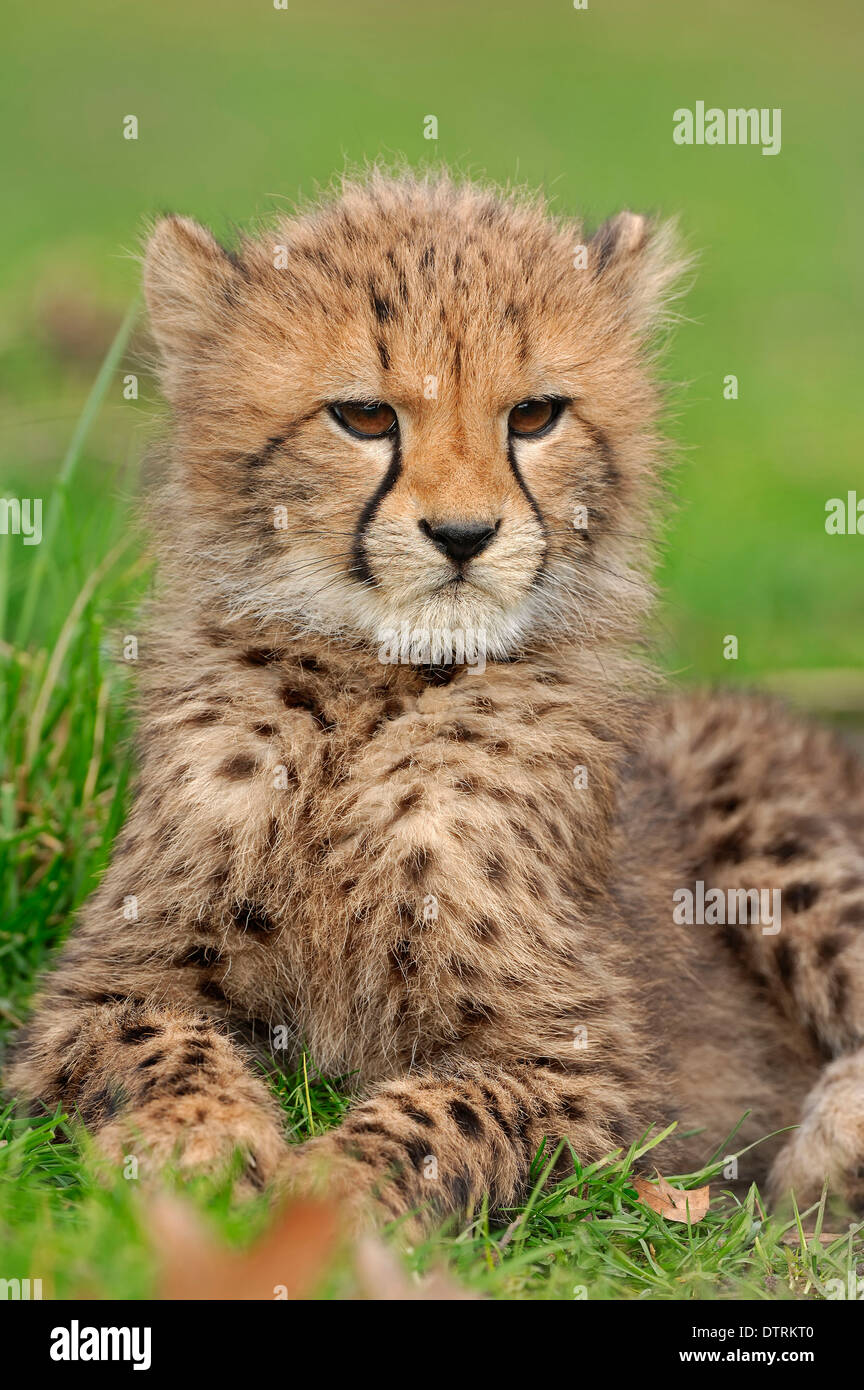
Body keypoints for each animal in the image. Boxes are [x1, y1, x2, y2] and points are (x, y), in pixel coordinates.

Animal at [7, 170, 864, 1233]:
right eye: (365, 417)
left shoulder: (588, 1066)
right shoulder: (102, 984)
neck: (373, 694)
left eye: (534, 415)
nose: (463, 535)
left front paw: (329, 1191)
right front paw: (197, 1139)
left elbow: (445, 1114)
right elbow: (156, 1045)